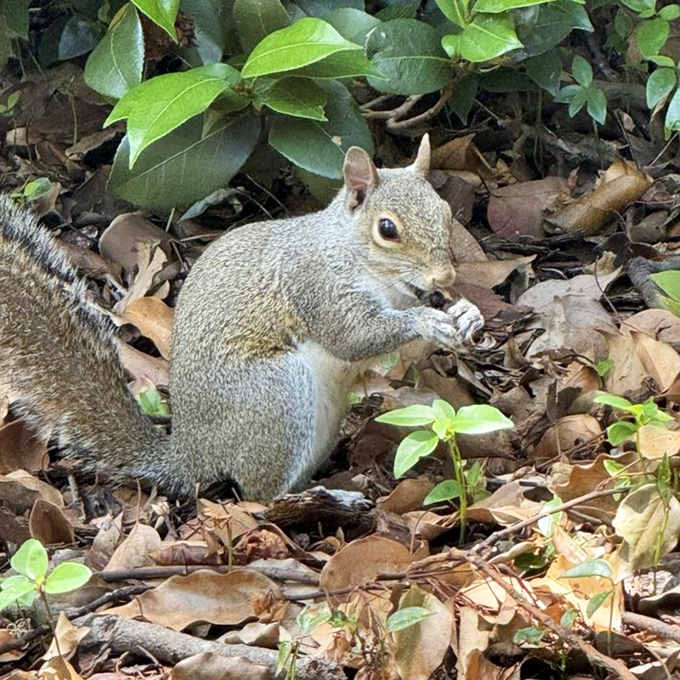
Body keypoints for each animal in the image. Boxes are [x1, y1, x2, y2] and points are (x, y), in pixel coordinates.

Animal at [0, 135, 484, 501]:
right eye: (387, 229)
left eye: (445, 213)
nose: (445, 277)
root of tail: (191, 453)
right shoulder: (313, 283)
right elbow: (352, 337)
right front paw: (427, 320)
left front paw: (466, 313)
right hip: (274, 395)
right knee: (258, 495)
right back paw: (326, 497)